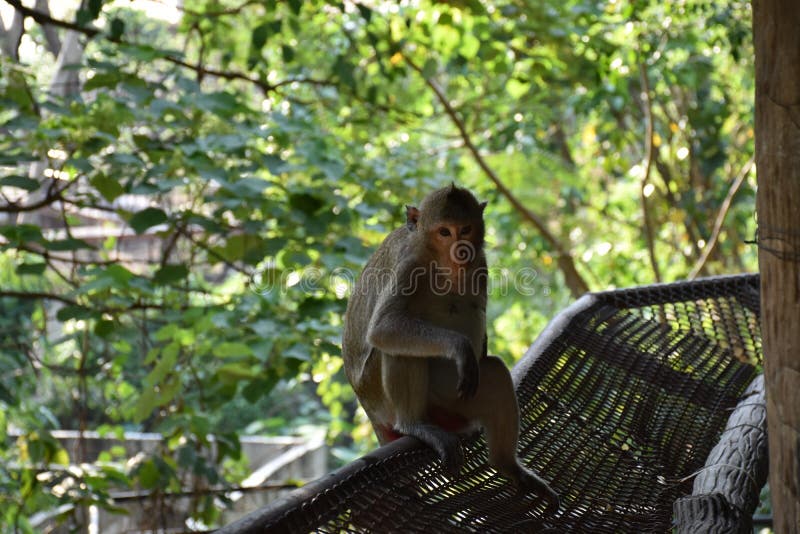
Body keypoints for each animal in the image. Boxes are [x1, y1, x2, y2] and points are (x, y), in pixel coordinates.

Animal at [342, 184, 559, 512]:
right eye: (444, 232)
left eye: (465, 229)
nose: (461, 249)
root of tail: (368, 409)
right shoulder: (409, 266)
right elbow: (384, 326)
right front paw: (460, 348)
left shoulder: (480, 263)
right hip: (381, 398)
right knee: (396, 347)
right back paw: (414, 424)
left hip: (451, 403)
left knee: (494, 371)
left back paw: (506, 465)